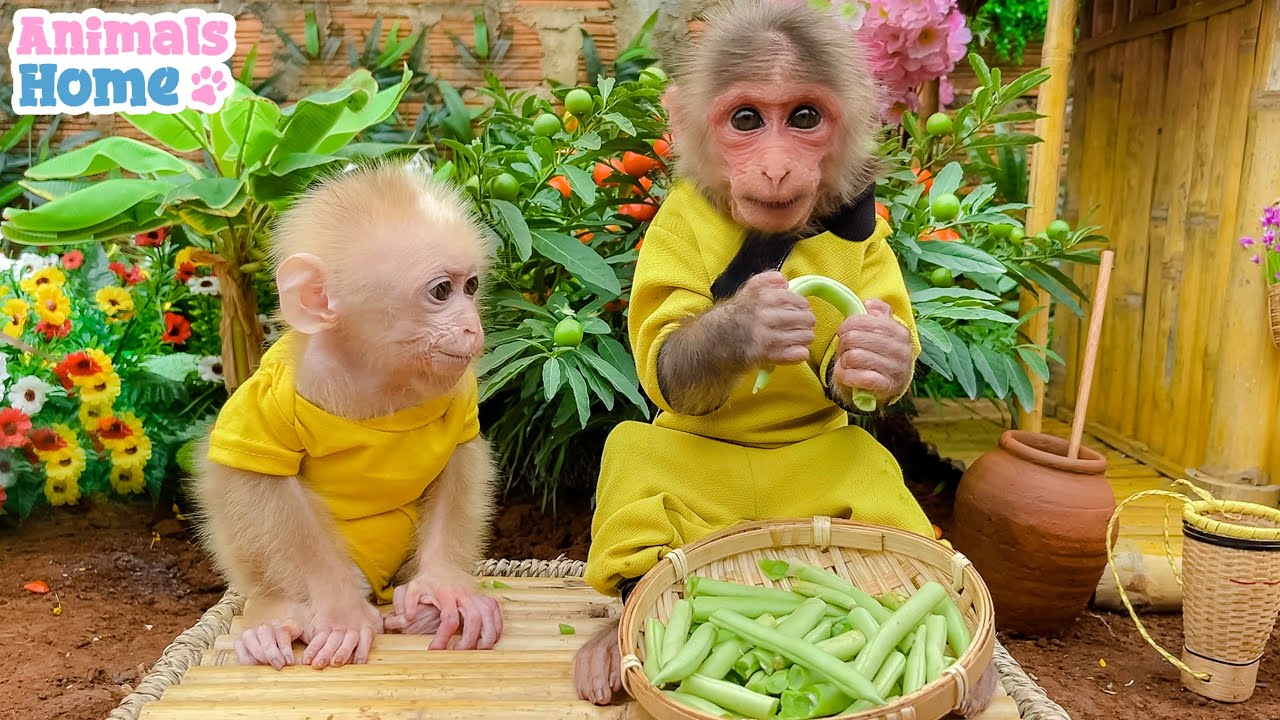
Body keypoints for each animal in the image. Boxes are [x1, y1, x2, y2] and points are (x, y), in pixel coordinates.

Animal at [187, 159, 504, 671]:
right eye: (441, 292)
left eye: (471, 287)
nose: (471, 327)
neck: (373, 374)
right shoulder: (271, 395)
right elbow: (255, 478)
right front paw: (338, 611)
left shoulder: (459, 389)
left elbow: (459, 457)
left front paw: (444, 586)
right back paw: (274, 618)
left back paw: (420, 613)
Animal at [572, 0, 999, 715]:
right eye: (747, 120)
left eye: (804, 117)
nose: (775, 166)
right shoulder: (670, 230)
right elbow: (664, 353)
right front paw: (754, 323)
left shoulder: (869, 236)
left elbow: (865, 346)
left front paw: (874, 357)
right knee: (635, 456)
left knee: (873, 477)